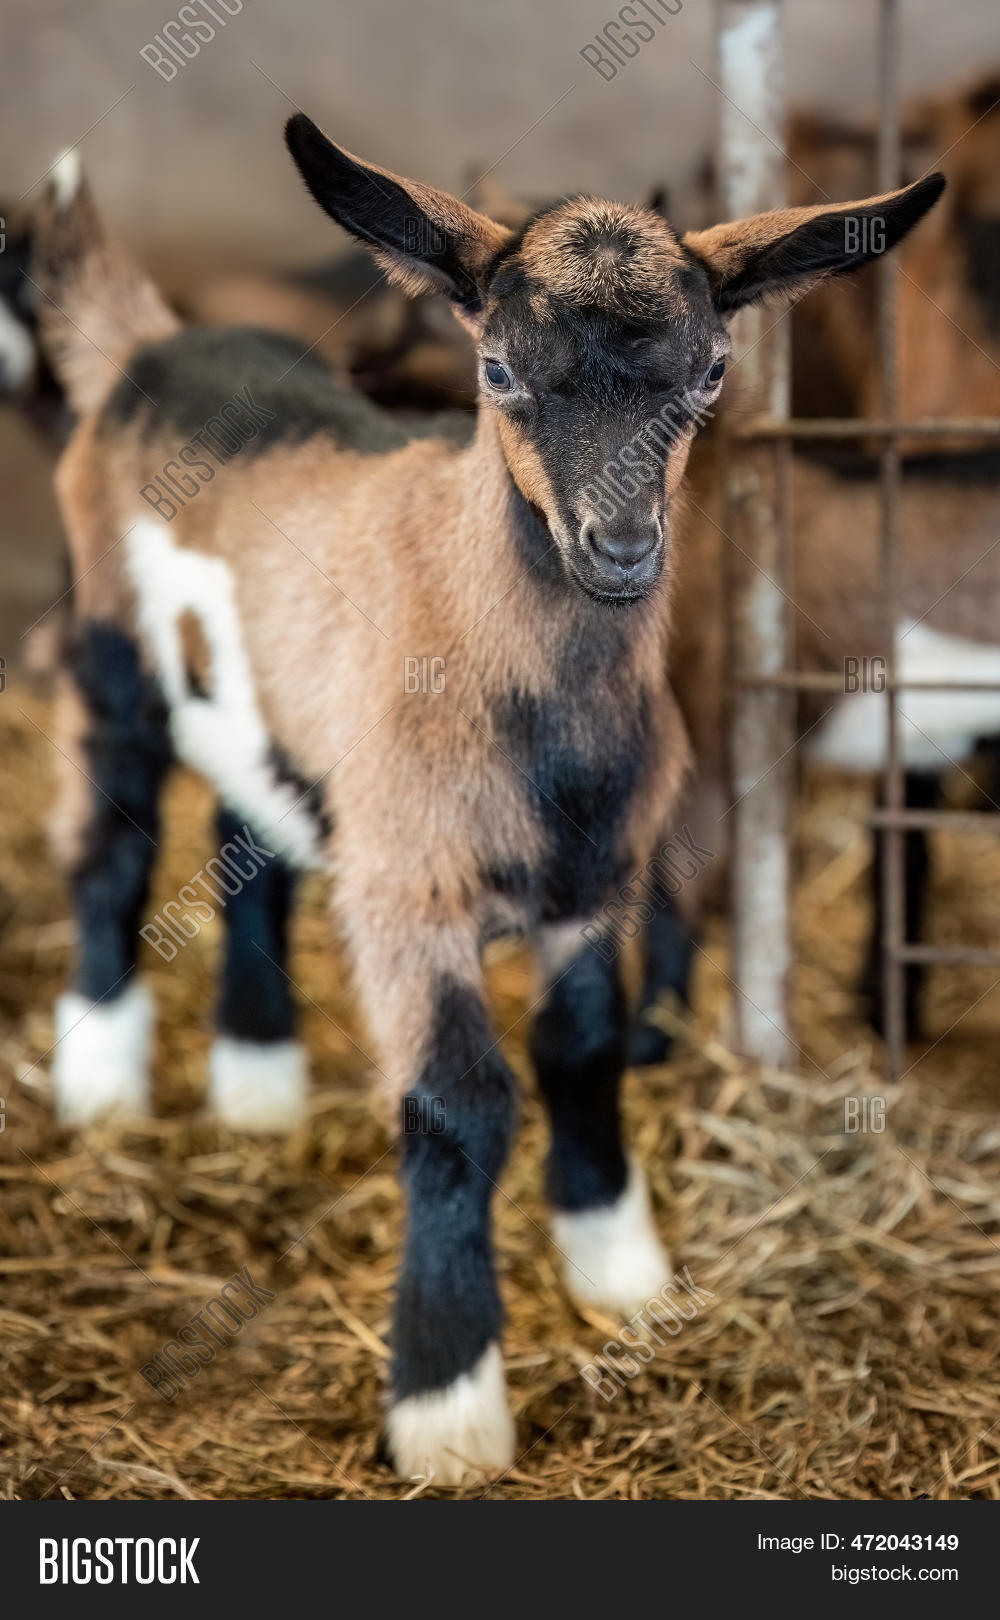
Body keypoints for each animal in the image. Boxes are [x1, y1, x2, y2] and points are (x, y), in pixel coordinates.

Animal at [33, 122, 942, 1483]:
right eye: (500, 369)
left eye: (713, 370)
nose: (619, 548)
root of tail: (145, 346)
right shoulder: (413, 892)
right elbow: (460, 1104)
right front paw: (447, 1405)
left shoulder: (595, 883)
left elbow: (583, 1049)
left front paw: (616, 1261)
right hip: (111, 652)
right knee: (110, 848)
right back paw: (100, 1083)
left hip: (275, 708)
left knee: (249, 837)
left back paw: (257, 1082)